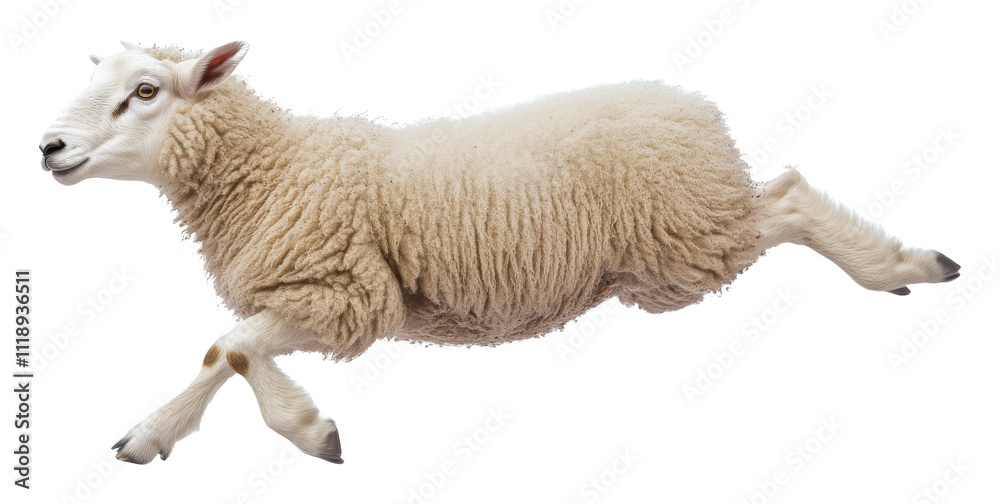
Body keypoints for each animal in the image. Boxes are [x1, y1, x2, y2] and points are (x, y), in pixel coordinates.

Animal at [38, 41, 961, 466]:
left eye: (144, 91)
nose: (47, 147)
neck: (275, 167)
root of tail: (696, 110)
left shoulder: (343, 294)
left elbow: (227, 347)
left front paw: (309, 430)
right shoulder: (323, 296)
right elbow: (220, 353)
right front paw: (150, 437)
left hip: (685, 236)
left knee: (793, 197)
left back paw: (905, 266)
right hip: (686, 233)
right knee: (785, 197)